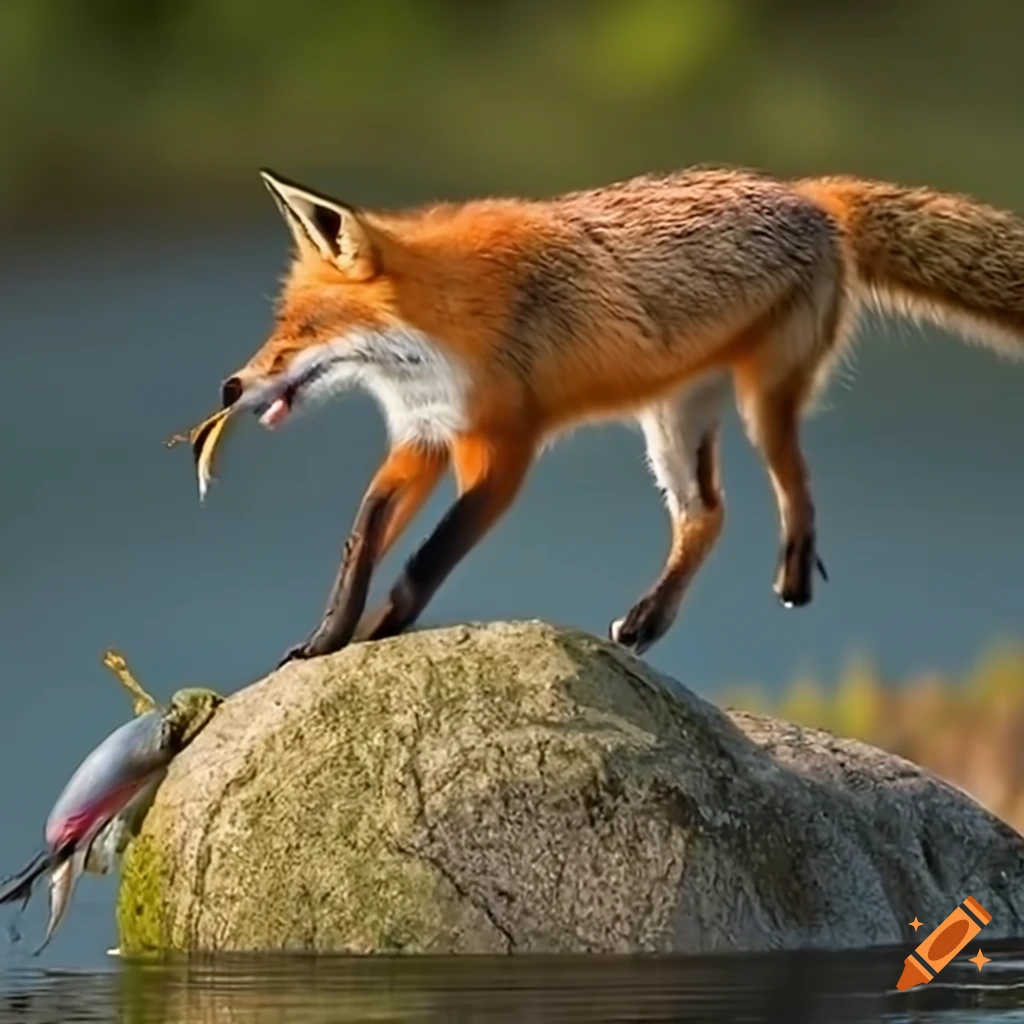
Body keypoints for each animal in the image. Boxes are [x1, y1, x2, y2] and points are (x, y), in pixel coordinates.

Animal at [215, 166, 1024, 667]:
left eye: (303, 328)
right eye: (279, 324)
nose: (229, 387)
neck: (439, 336)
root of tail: (808, 192)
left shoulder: (503, 449)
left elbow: (424, 562)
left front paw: (382, 631)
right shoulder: (425, 438)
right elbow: (360, 543)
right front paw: (327, 640)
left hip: (762, 401)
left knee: (792, 481)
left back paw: (795, 570)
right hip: (670, 424)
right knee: (707, 515)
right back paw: (650, 618)